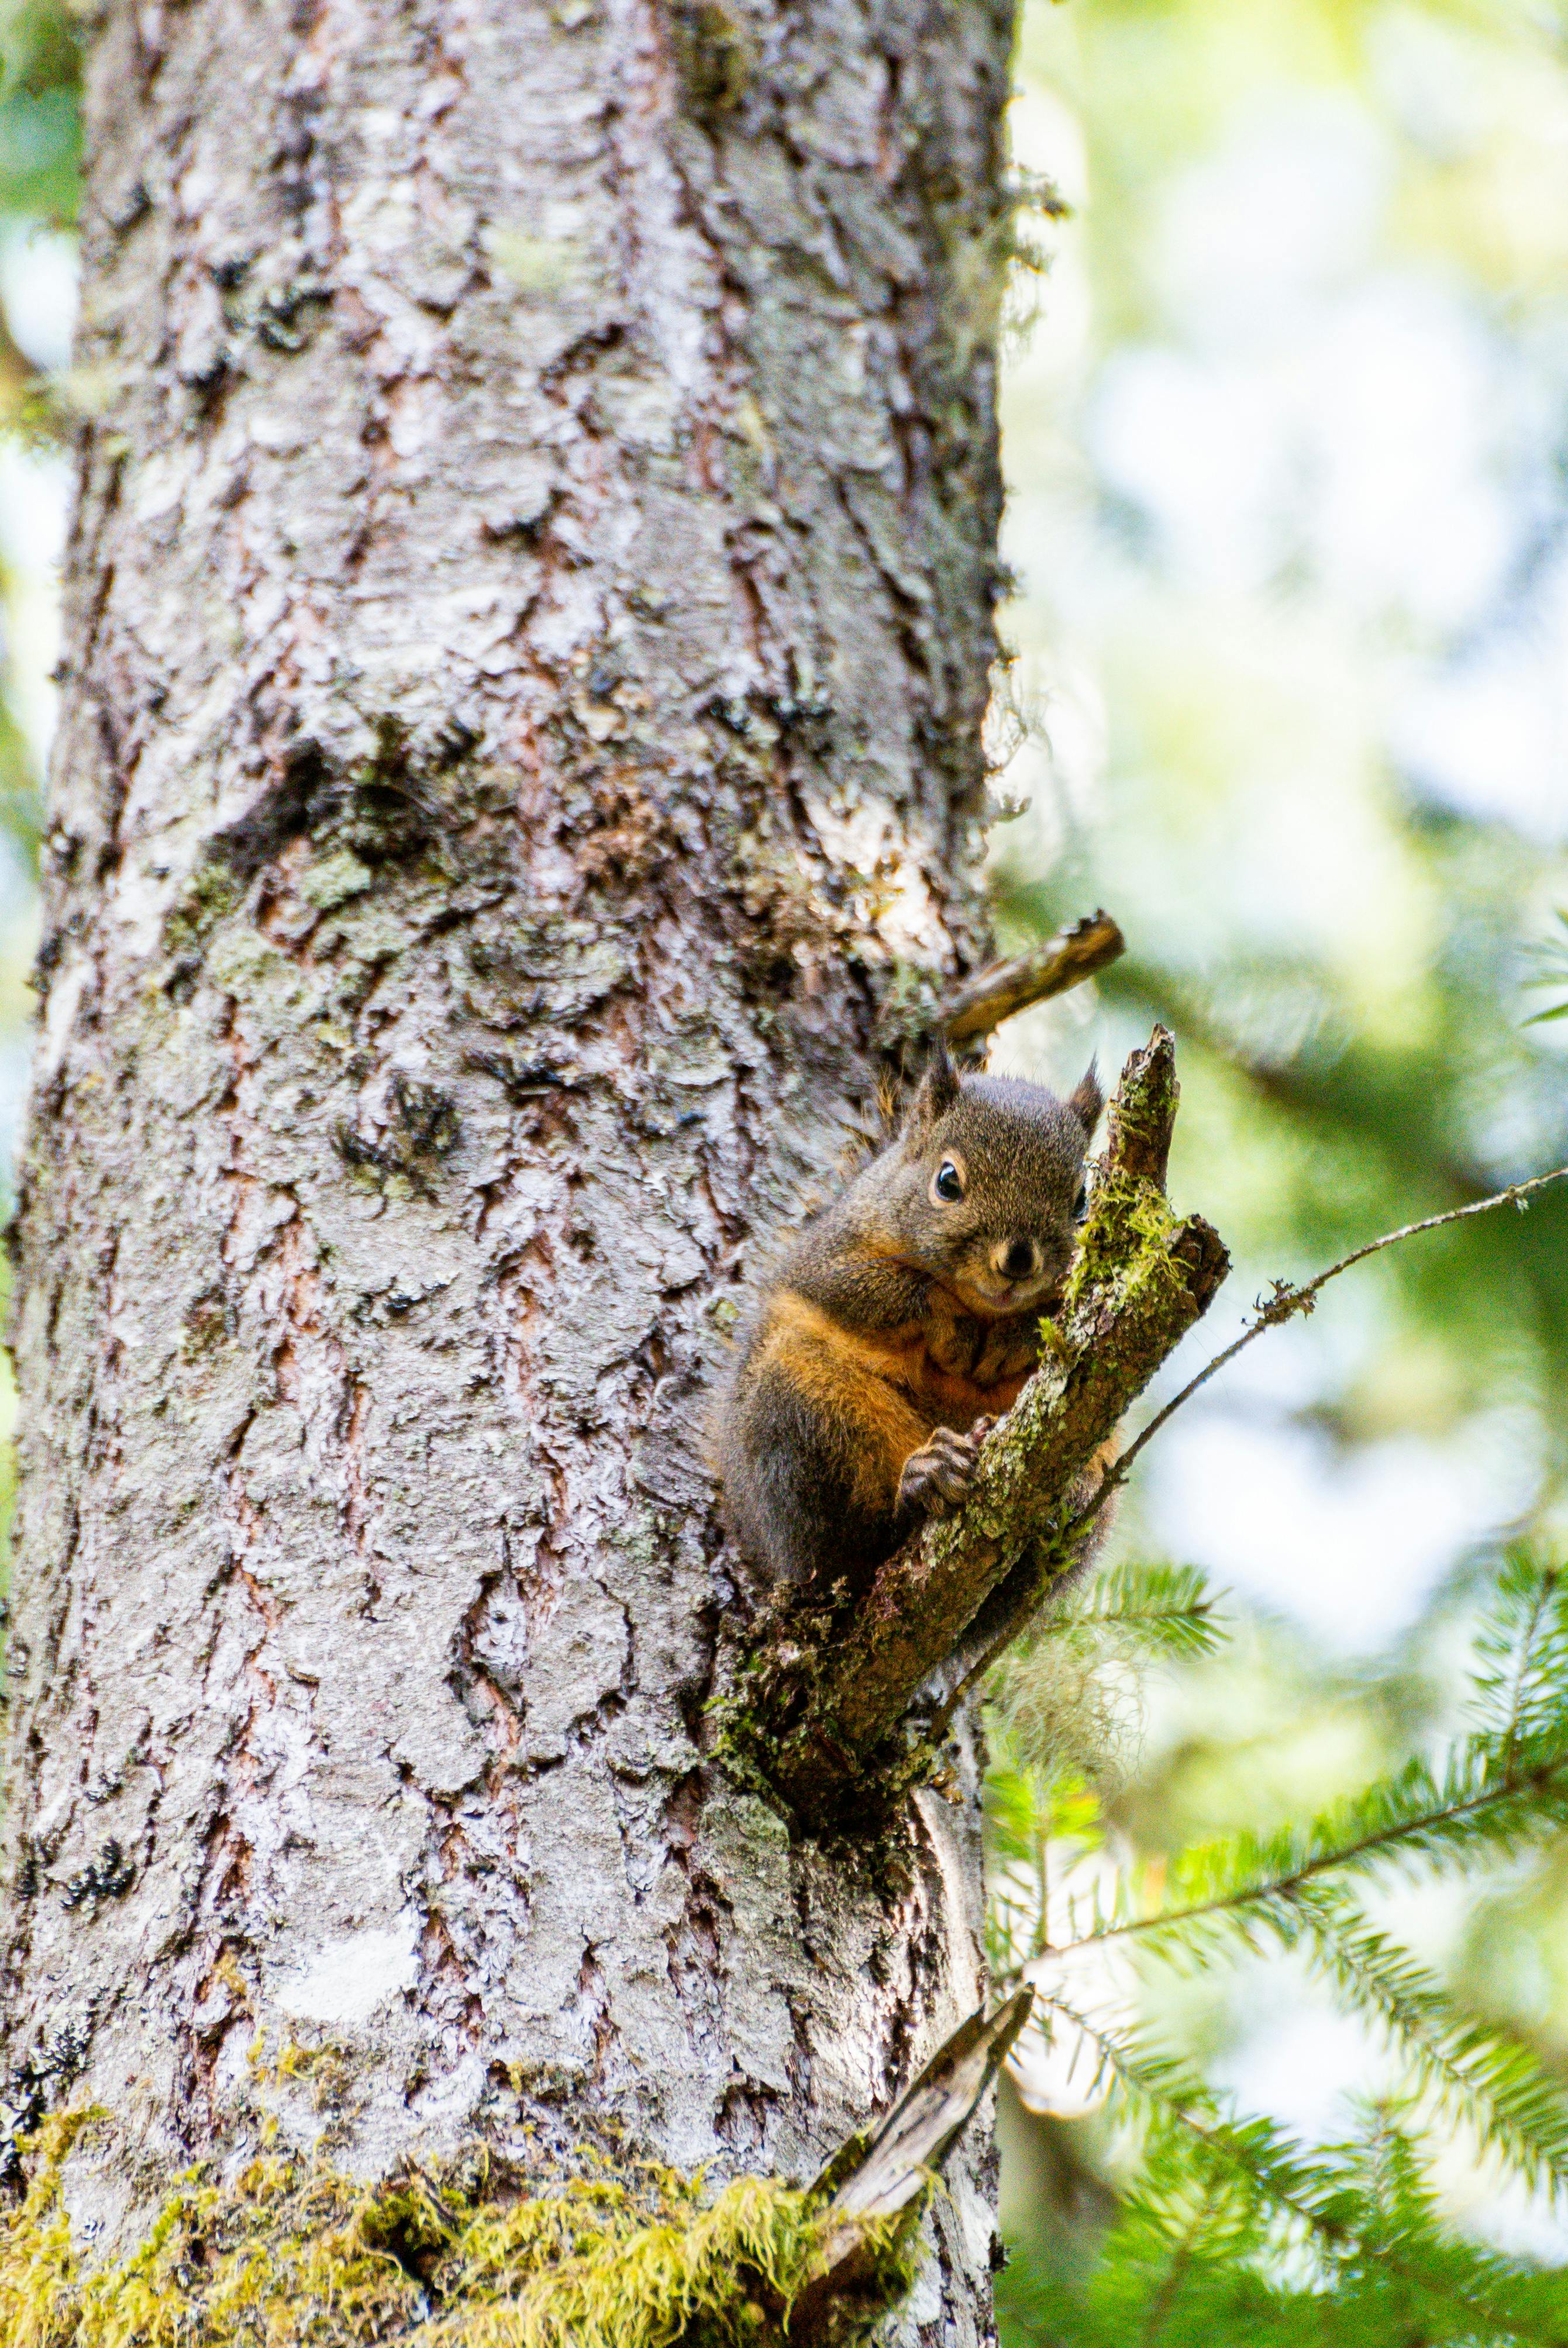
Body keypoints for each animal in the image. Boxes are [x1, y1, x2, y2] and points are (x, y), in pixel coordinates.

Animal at [716, 1038, 1106, 1592]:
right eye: (947, 1181)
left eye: (1081, 1202)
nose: (1017, 1261)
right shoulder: (828, 1256)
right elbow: (881, 1292)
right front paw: (954, 1329)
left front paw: (1009, 1338)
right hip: (801, 1405)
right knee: (844, 1552)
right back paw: (922, 1484)